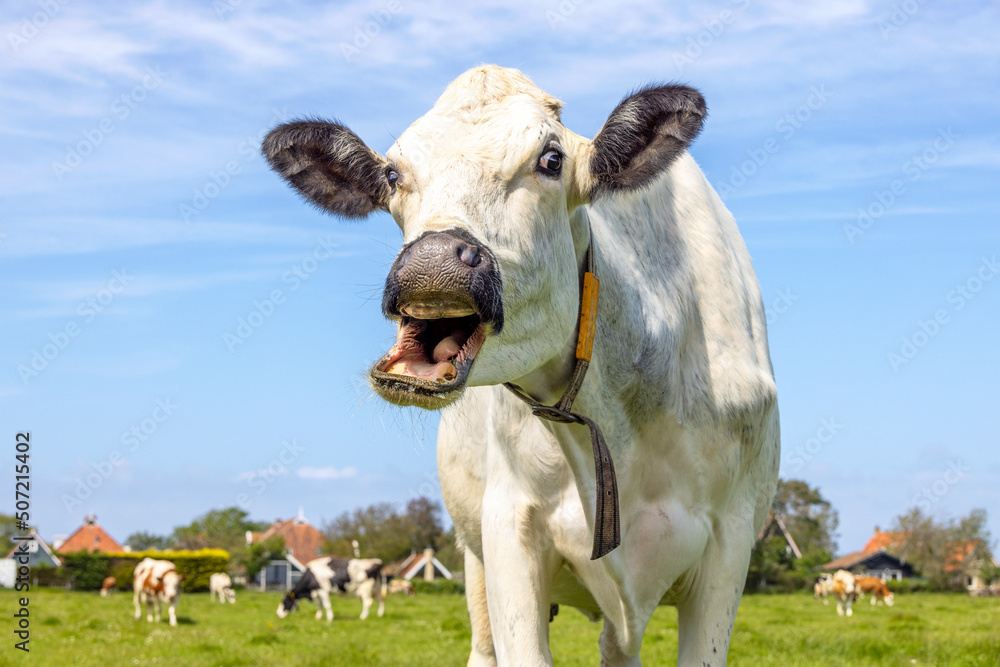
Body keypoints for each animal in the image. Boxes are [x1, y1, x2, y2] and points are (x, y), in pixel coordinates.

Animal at [263, 65, 780, 665]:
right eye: (392, 174)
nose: (430, 262)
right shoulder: (508, 527)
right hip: (474, 560)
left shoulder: (731, 544)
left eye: (551, 160)